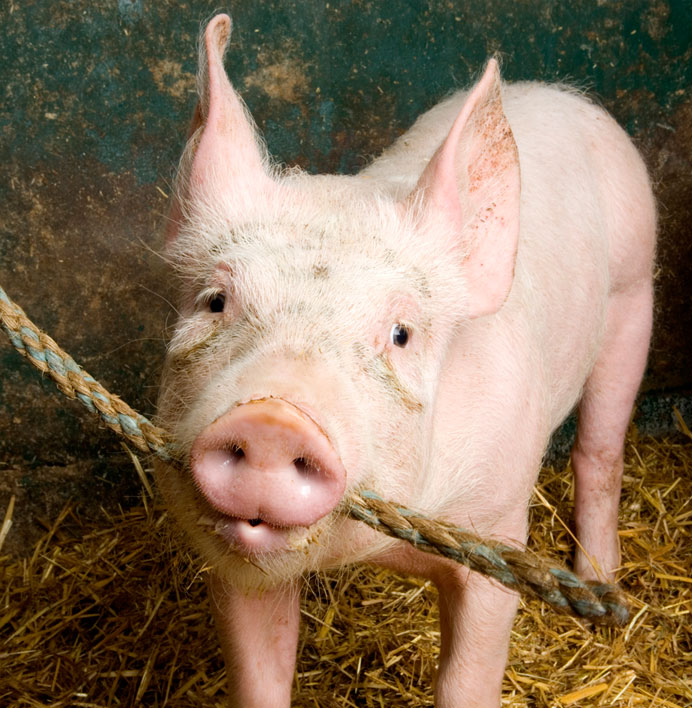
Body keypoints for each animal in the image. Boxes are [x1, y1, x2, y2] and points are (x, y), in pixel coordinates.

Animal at [154, 14, 656, 708]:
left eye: (401, 334)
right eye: (215, 302)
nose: (272, 419)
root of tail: (563, 96)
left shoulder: (498, 534)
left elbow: (467, 679)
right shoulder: (234, 564)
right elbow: (261, 674)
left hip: (633, 295)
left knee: (600, 452)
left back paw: (603, 595)